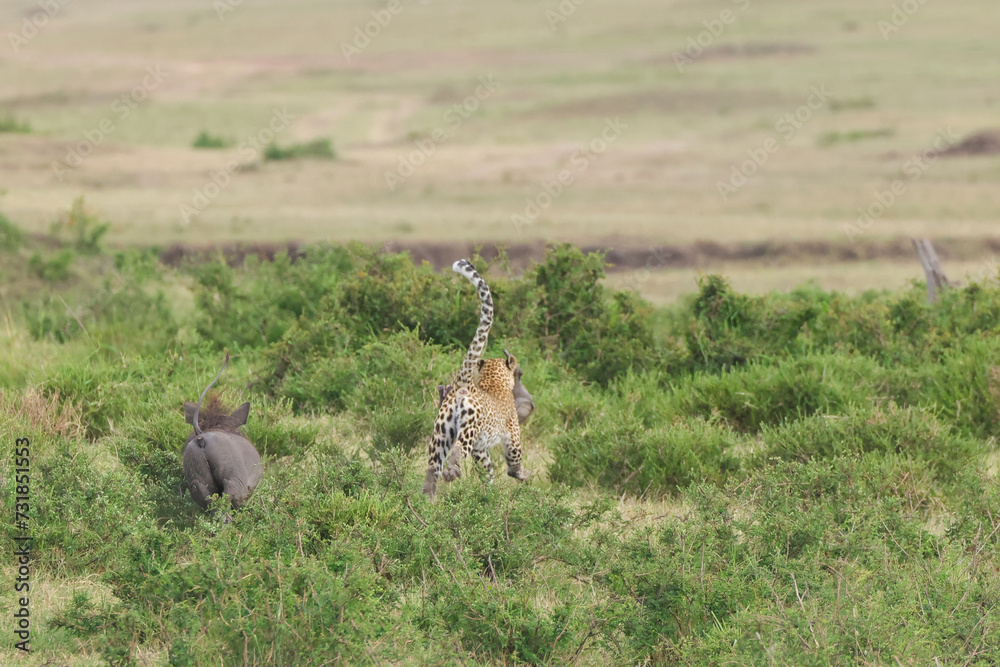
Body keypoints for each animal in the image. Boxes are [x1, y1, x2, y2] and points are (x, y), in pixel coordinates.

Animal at [422, 259, 531, 497]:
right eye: (519, 373)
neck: (493, 380)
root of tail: (464, 384)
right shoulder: (513, 435)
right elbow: (515, 458)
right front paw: (521, 474)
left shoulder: (481, 448)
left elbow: (486, 468)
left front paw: (490, 489)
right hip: (466, 429)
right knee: (457, 451)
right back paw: (452, 474)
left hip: (440, 435)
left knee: (432, 470)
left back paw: (426, 498)